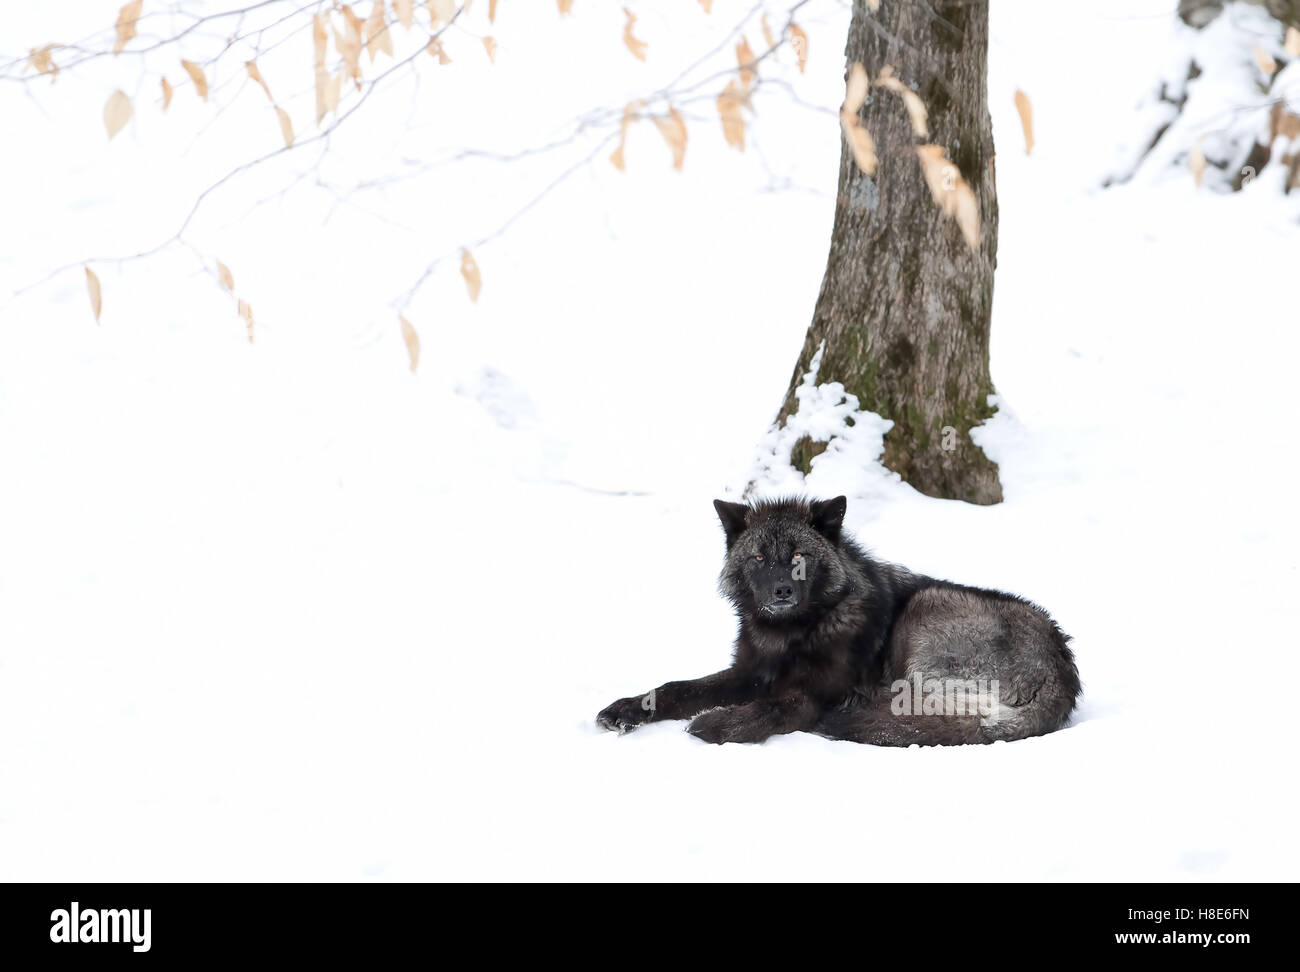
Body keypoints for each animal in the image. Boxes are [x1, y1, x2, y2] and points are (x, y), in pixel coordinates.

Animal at [596, 496, 1080, 746]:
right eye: (758, 558)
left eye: (798, 556)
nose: (781, 592)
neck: (790, 634)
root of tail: (1062, 670)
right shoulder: (747, 673)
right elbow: (676, 688)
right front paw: (626, 710)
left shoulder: (816, 692)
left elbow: (773, 707)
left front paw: (715, 724)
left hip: (924, 615)